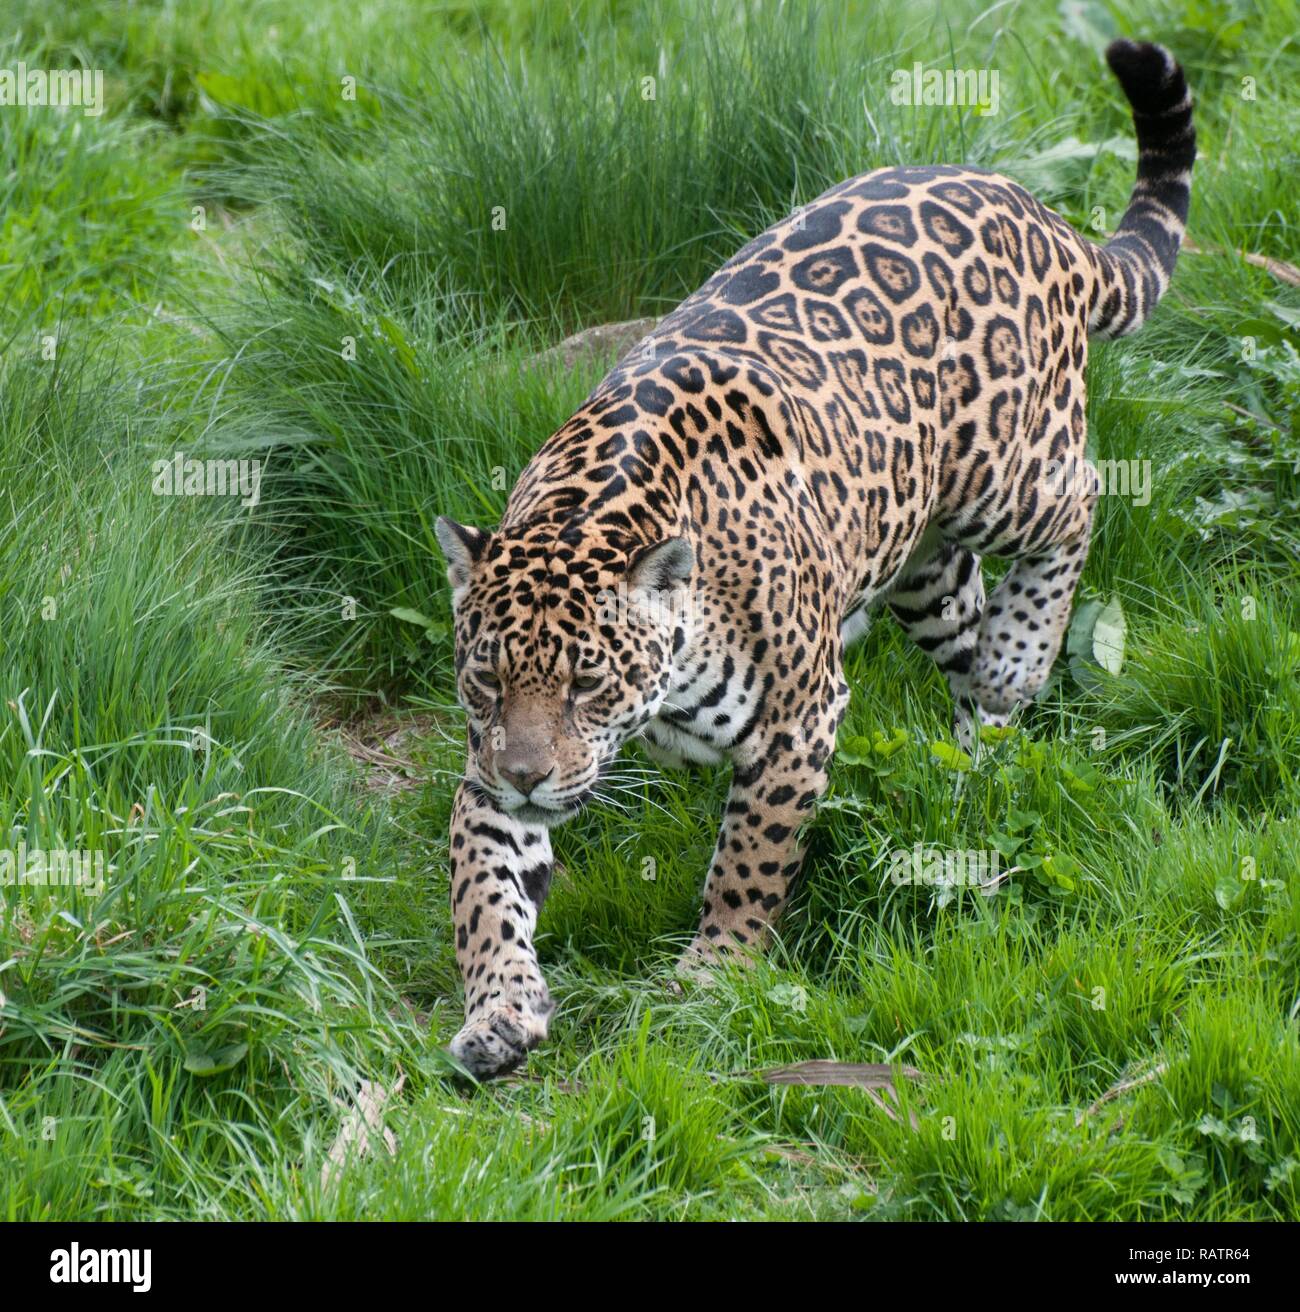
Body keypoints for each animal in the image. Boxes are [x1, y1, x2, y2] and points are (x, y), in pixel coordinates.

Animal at [433, 40, 1195, 1077]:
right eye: (485, 682)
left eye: (588, 684)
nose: (526, 777)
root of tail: (1032, 208)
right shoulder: (486, 770)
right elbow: (483, 889)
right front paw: (499, 1009)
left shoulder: (798, 721)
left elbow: (749, 862)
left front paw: (714, 974)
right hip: (915, 556)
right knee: (967, 634)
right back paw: (974, 763)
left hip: (1006, 469)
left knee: (1079, 502)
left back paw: (1020, 656)